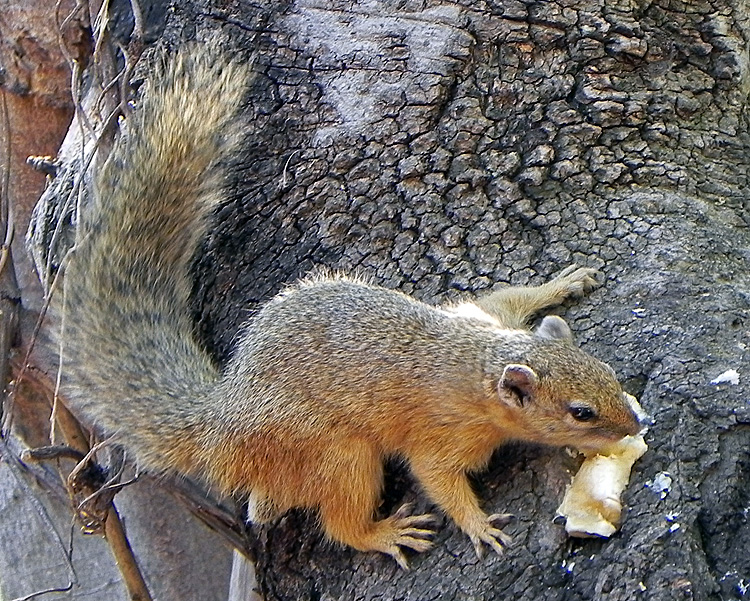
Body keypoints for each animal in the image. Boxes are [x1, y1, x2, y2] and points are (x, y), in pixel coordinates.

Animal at [53, 44, 643, 569]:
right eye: (581, 413)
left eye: (609, 375)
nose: (632, 427)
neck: (476, 359)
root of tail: (220, 427)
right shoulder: (444, 432)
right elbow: (438, 478)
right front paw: (477, 524)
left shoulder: (485, 316)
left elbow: (508, 296)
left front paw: (563, 281)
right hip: (337, 455)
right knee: (338, 519)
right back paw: (382, 534)